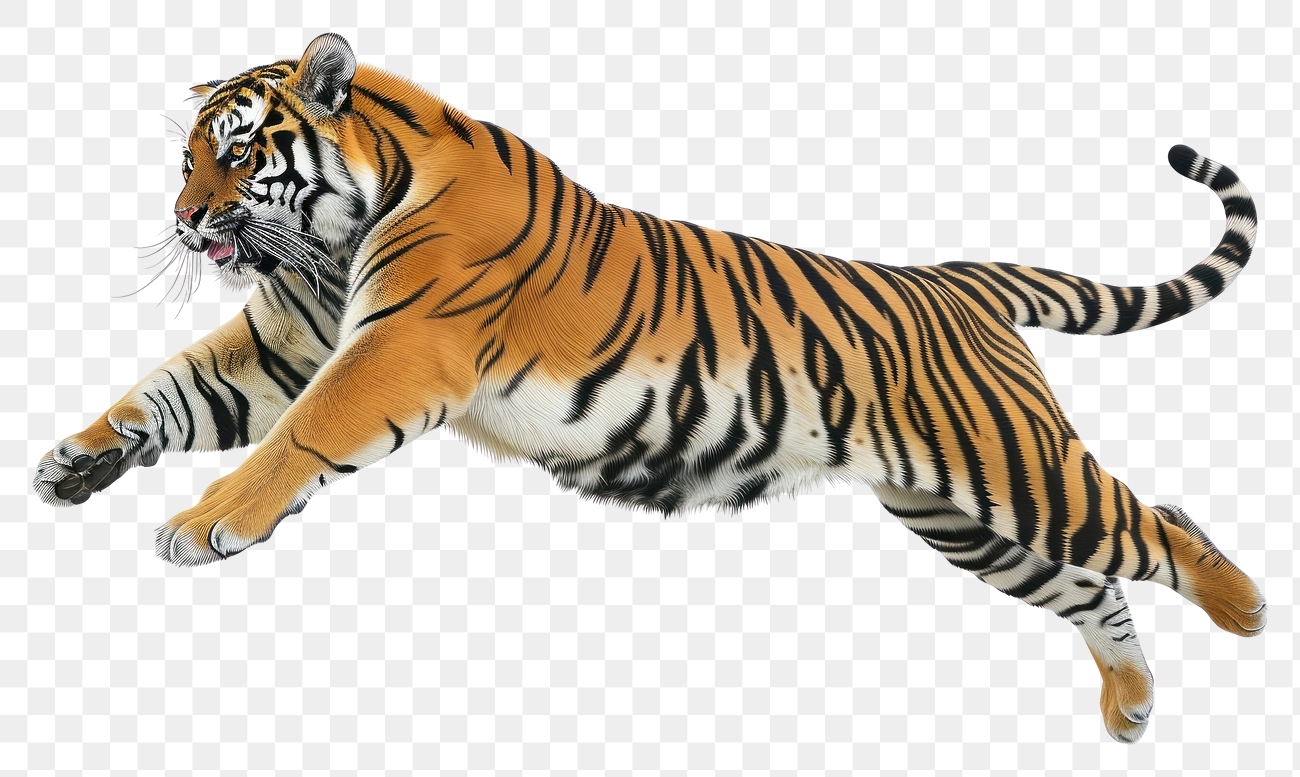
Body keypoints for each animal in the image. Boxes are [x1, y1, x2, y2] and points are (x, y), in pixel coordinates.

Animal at [33, 33, 1264, 743]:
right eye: (186, 158)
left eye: (239, 154)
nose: (185, 219)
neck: (328, 244)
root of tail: (951, 281)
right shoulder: (284, 341)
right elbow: (169, 391)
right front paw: (77, 458)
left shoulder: (395, 350)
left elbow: (293, 438)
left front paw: (204, 523)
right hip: (956, 514)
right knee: (1093, 583)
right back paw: (1131, 704)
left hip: (1013, 469)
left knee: (1156, 522)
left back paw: (1246, 608)